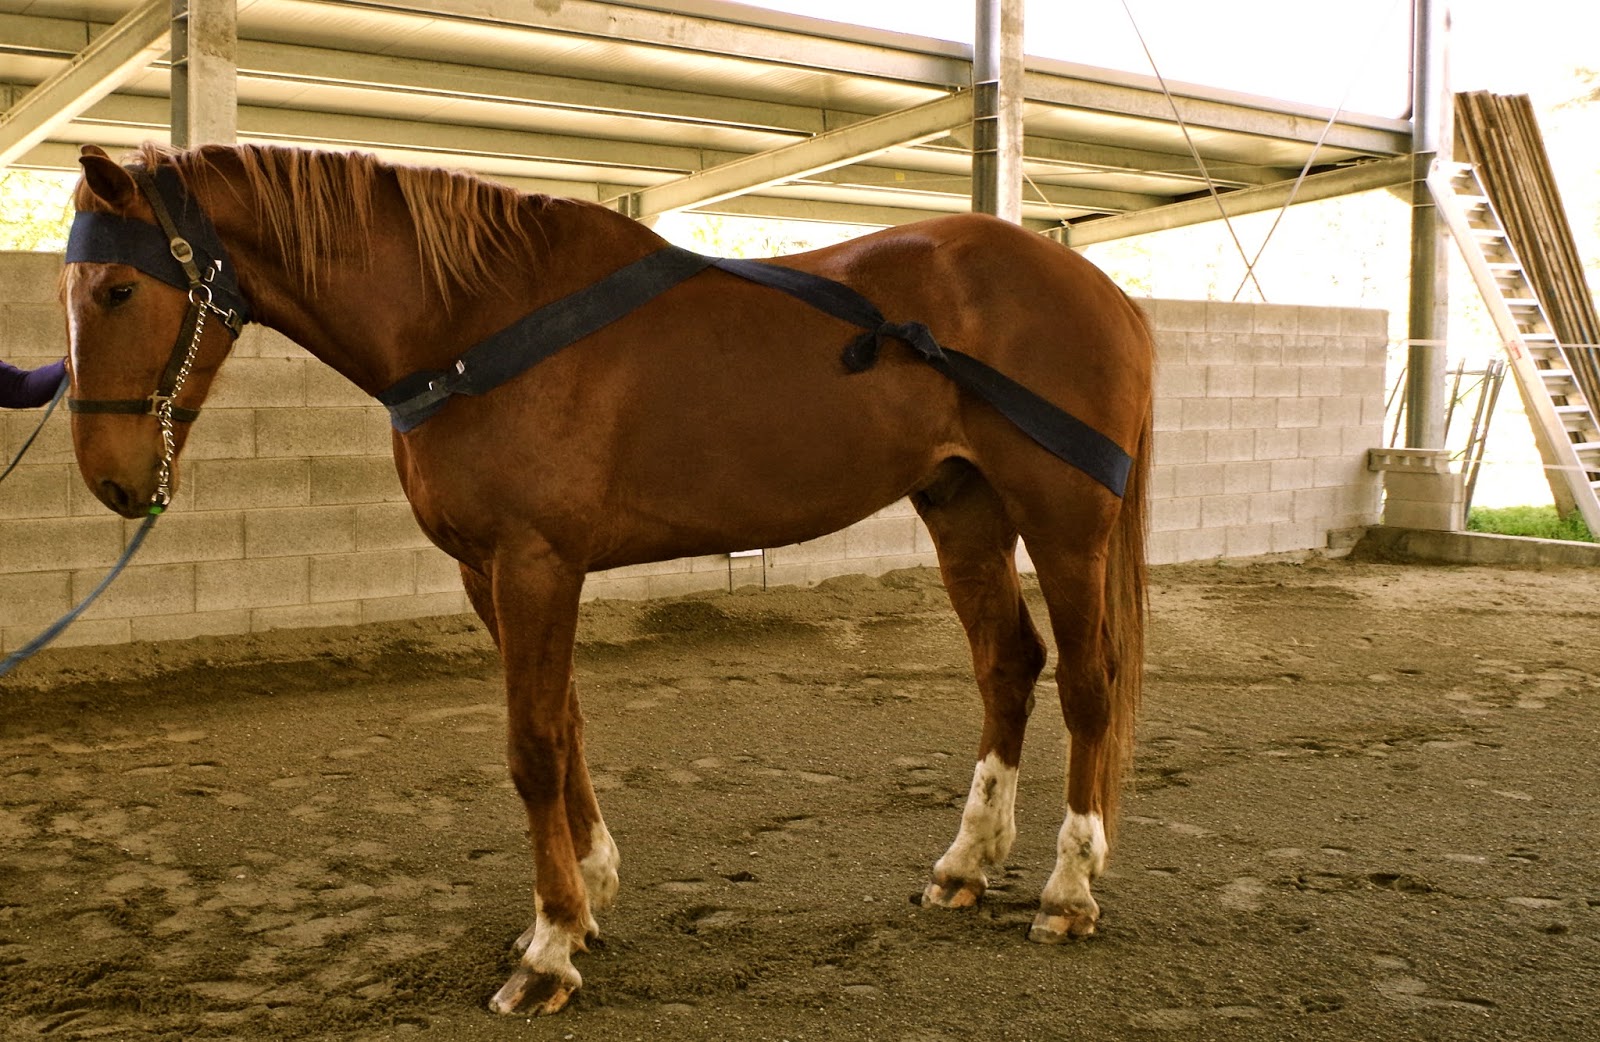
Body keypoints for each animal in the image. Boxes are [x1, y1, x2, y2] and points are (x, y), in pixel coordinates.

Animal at [59, 142, 1153, 1016]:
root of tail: (1100, 288)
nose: (112, 479)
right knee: (1007, 664)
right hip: (961, 506)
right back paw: (965, 864)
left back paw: (1070, 891)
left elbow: (534, 747)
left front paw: (547, 951)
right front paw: (585, 896)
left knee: (1088, 680)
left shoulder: (535, 560)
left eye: (116, 290)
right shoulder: (492, 573)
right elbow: (567, 724)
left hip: (1064, 521)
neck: (470, 319)